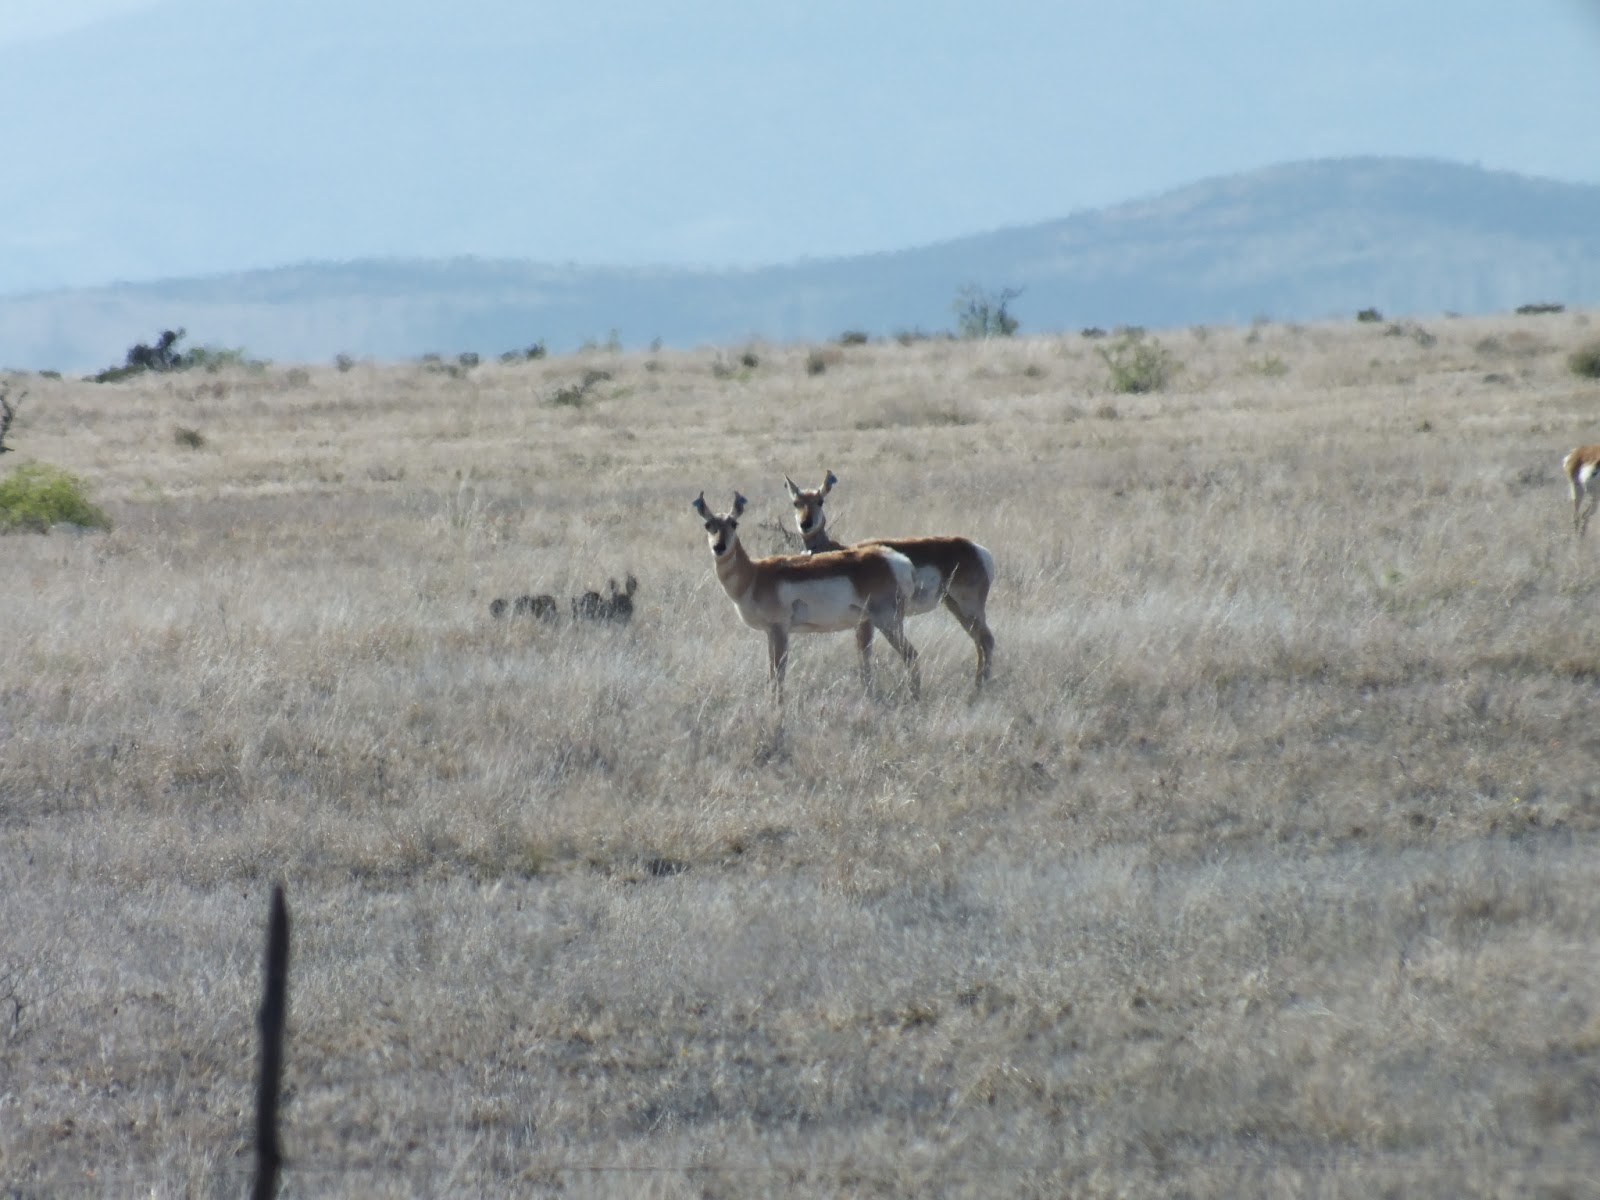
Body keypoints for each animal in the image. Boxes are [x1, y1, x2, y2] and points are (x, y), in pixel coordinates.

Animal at [693, 491, 919, 702]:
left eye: (734, 523)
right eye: (708, 525)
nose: (719, 547)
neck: (755, 574)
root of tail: (896, 561)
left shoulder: (780, 630)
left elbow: (778, 674)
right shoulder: (769, 633)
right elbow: (771, 673)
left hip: (888, 622)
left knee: (911, 655)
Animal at [785, 470, 996, 687]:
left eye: (820, 501)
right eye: (796, 503)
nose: (805, 524)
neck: (839, 549)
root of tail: (977, 549)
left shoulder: (866, 622)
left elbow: (864, 654)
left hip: (968, 606)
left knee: (986, 640)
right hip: (956, 607)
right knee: (979, 641)